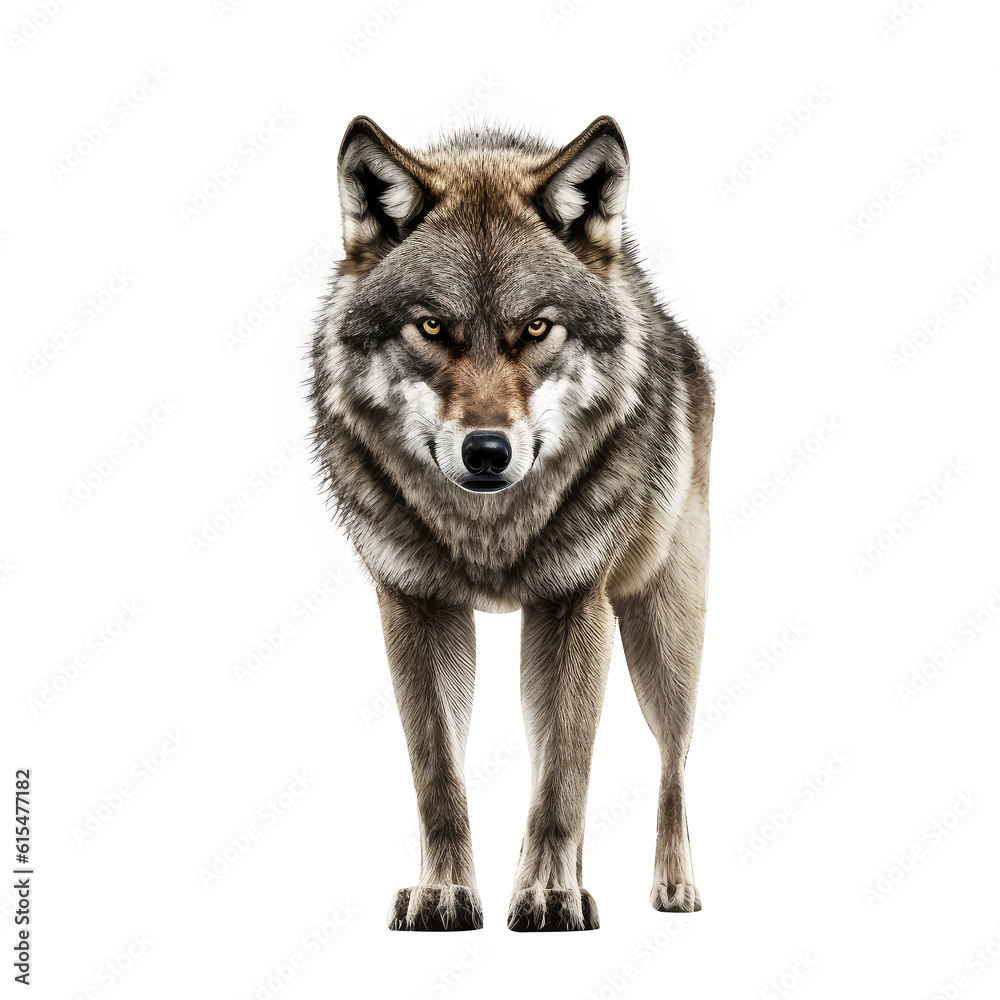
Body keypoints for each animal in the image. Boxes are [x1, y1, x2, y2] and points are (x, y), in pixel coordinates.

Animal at [310, 114, 714, 932]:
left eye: (536, 328)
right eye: (433, 325)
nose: (487, 451)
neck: (488, 535)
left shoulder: (575, 604)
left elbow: (562, 779)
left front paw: (552, 898)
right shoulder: (414, 607)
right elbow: (439, 778)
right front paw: (442, 896)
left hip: (664, 629)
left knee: (675, 763)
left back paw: (674, 888)